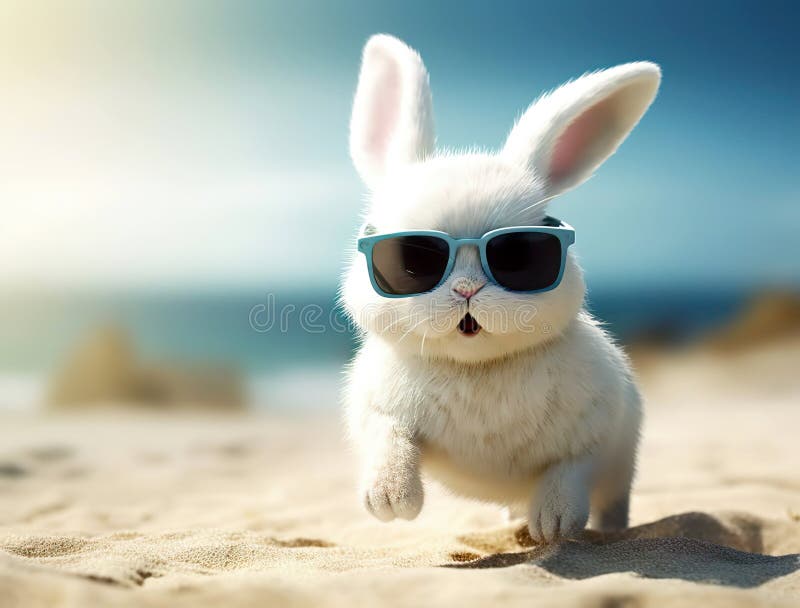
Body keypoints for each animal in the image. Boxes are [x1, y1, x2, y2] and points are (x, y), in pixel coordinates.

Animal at [340, 34, 660, 543]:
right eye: (410, 259)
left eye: (522, 253)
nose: (467, 289)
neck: (477, 368)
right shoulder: (379, 412)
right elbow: (391, 440)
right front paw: (390, 498)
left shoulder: (594, 436)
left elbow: (569, 471)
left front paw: (555, 523)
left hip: (620, 471)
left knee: (613, 504)